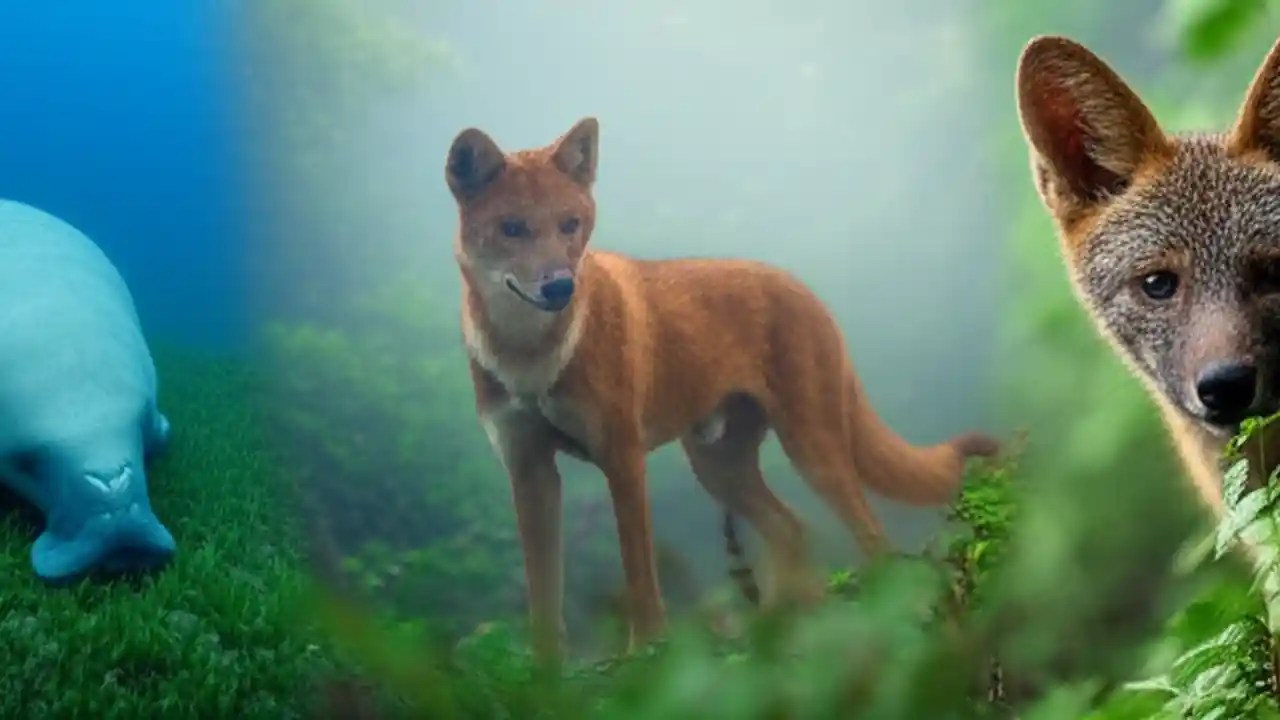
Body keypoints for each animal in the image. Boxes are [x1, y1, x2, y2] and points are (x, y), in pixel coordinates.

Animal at [444, 116, 1001, 660]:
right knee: (794, 529)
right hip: (718, 469)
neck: (529, 358)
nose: (561, 285)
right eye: (512, 228)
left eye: (569, 224)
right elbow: (543, 602)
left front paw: (647, 655)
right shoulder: (530, 472)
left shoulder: (623, 460)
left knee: (871, 537)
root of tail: (800, 285)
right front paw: (547, 680)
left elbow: (640, 577)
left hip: (812, 454)